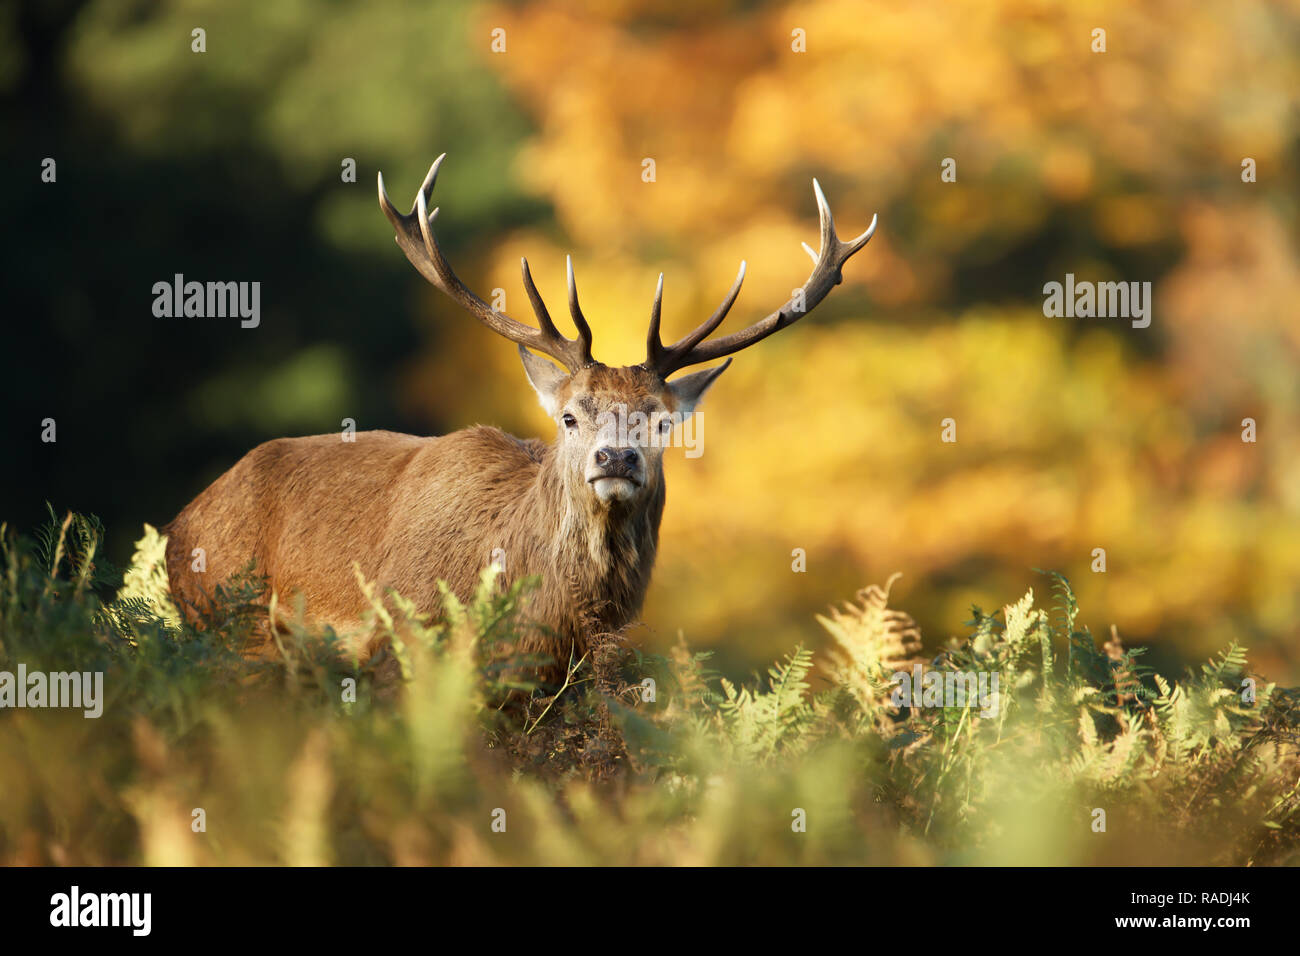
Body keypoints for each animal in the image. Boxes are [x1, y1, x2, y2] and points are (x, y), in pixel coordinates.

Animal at [162, 154, 877, 686]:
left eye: (660, 423)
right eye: (569, 417)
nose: (615, 458)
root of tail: (181, 523)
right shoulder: (400, 644)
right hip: (231, 627)